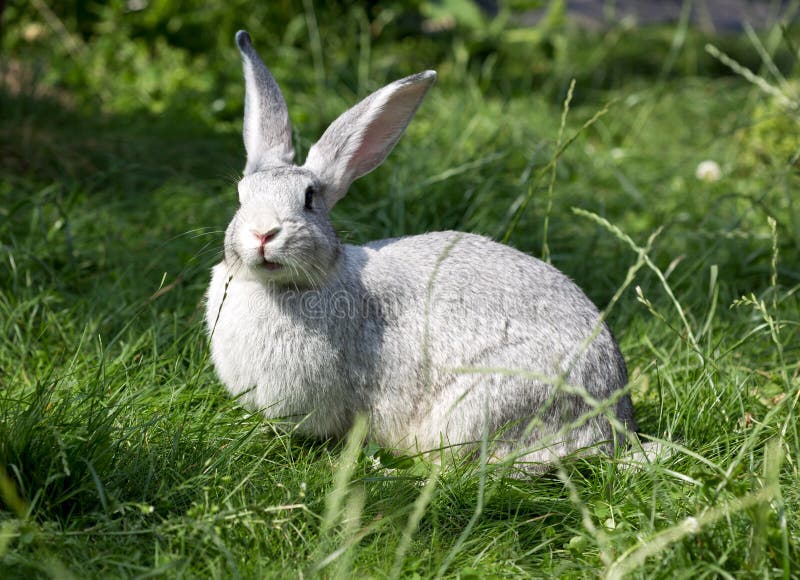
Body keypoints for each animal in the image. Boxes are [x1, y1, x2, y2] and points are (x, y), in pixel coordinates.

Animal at [205, 30, 638, 469]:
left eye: (309, 199)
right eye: (241, 197)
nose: (263, 234)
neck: (281, 287)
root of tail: (612, 430)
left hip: (485, 404)